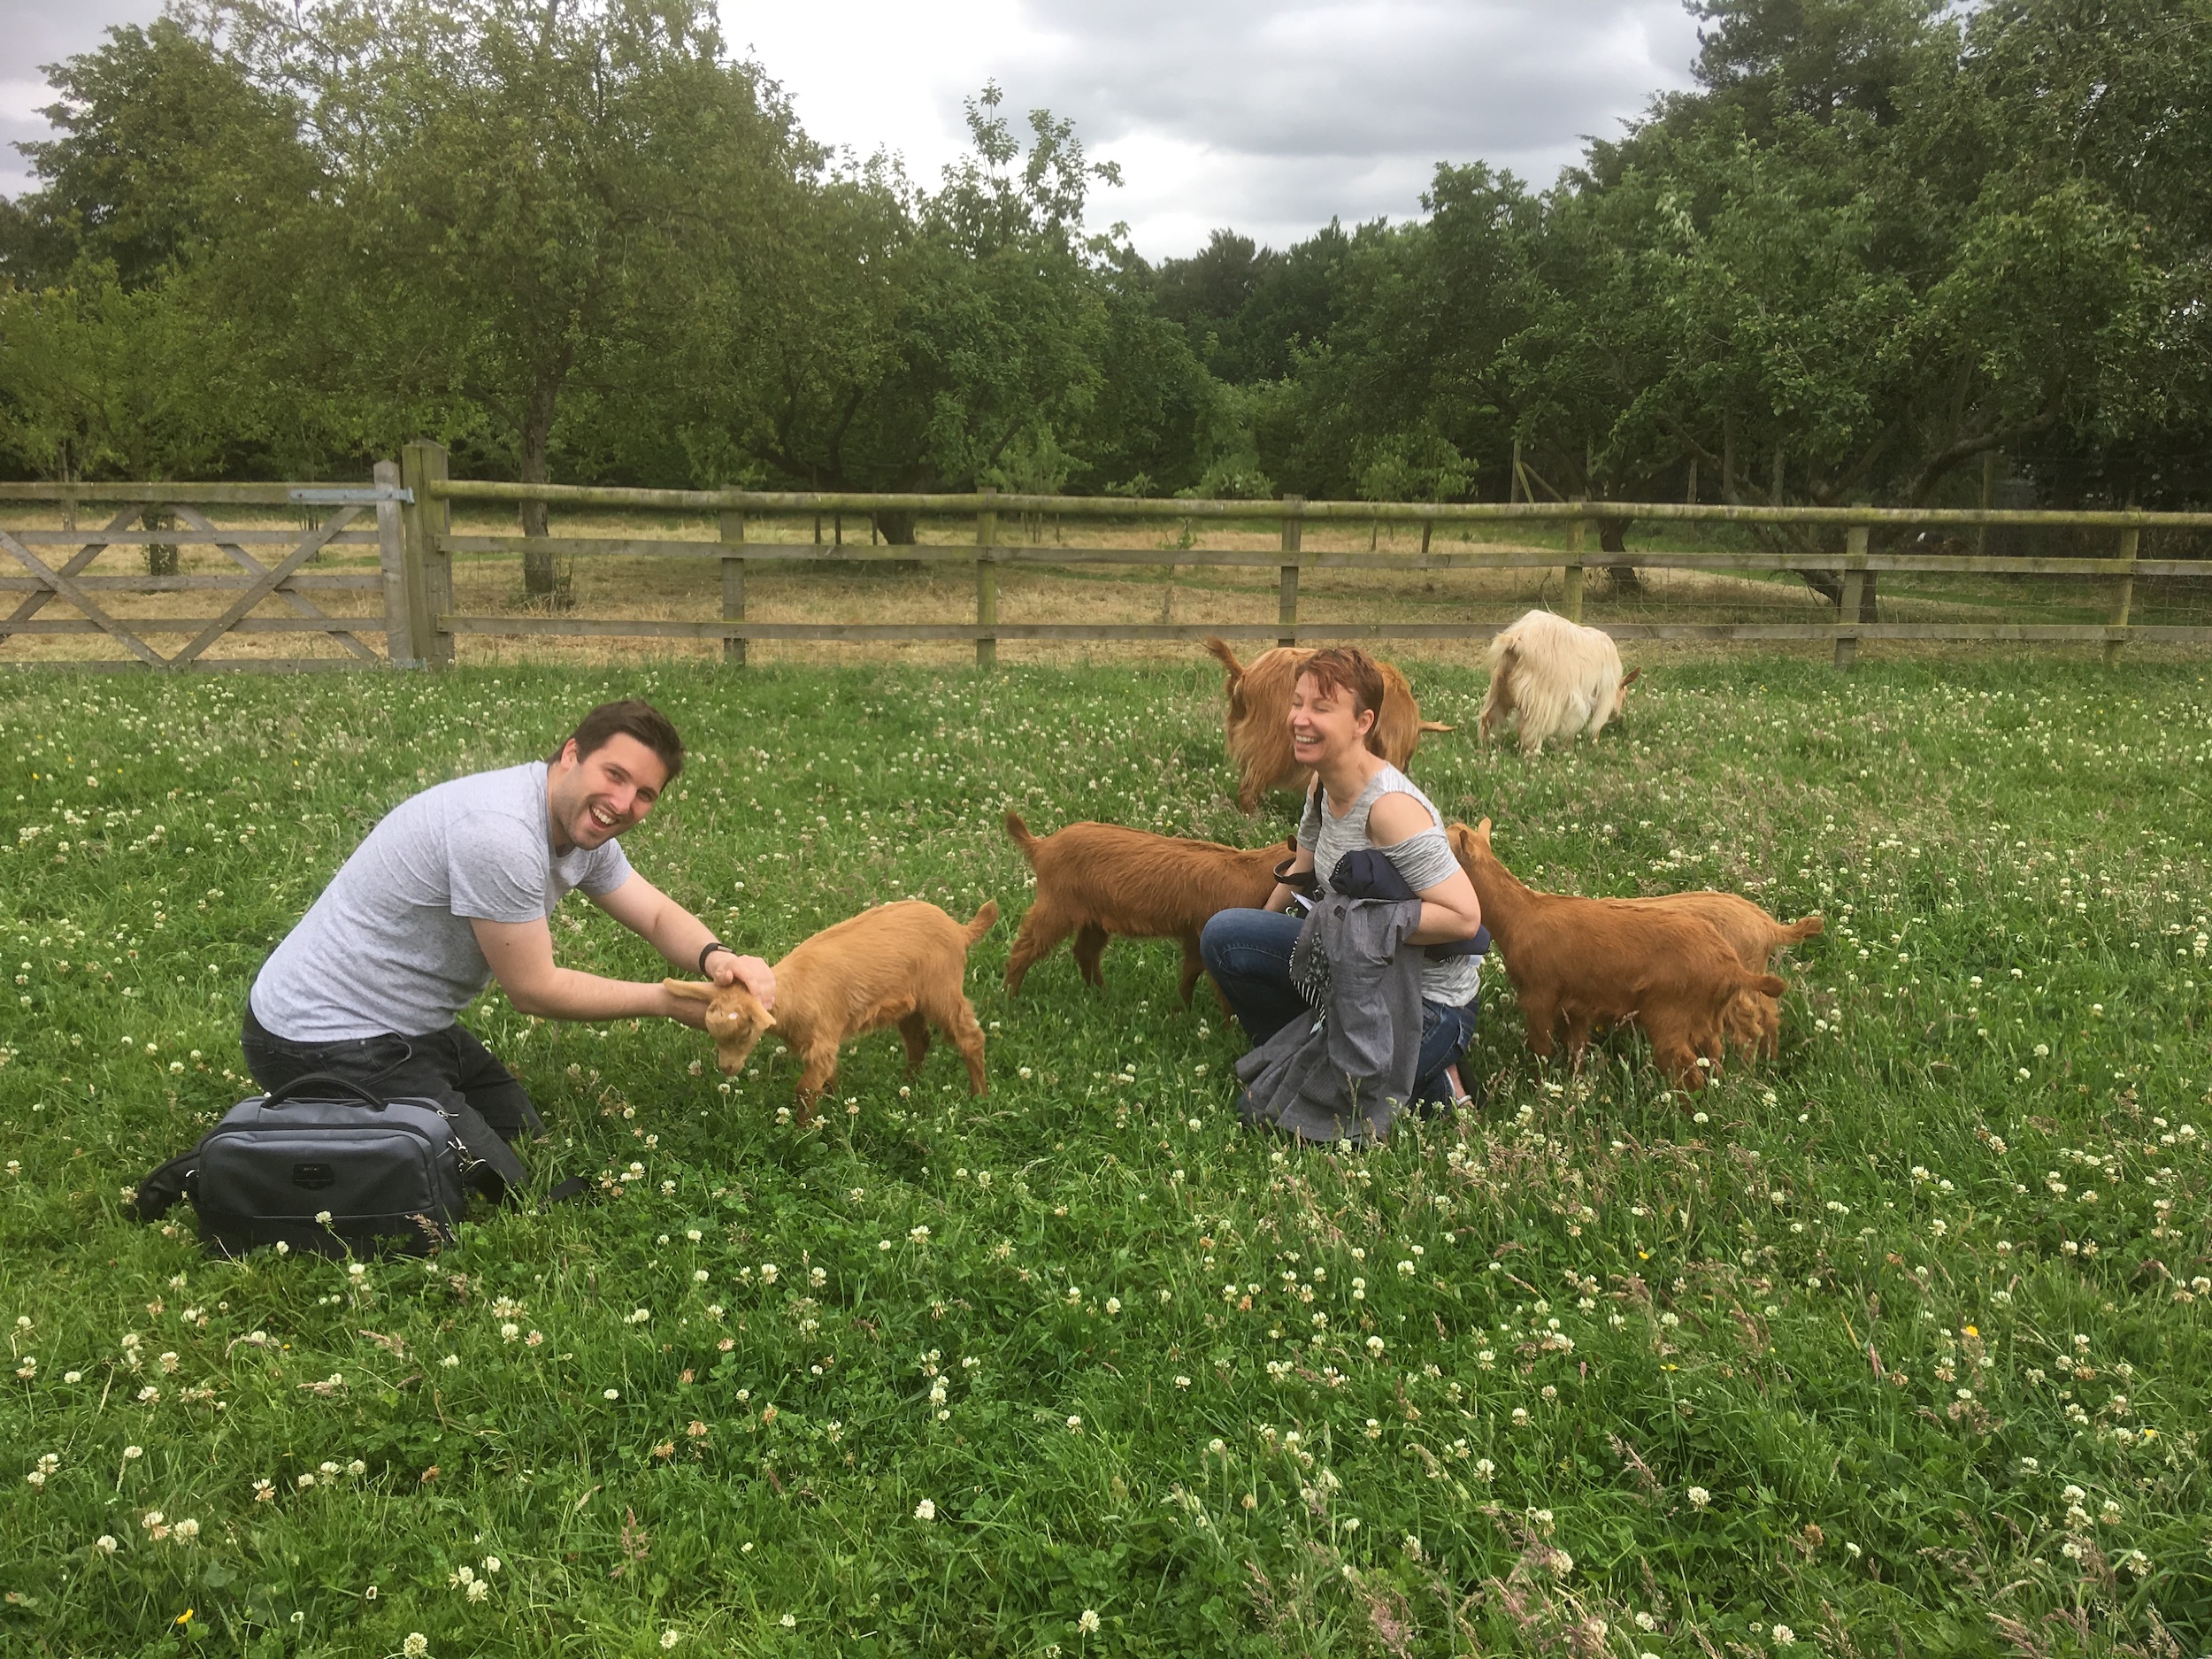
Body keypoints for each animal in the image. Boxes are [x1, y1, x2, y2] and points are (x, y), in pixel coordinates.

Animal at [665, 899, 996, 1122]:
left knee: (969, 1037)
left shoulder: (820, 1038)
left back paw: (979, 1097)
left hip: (942, 988)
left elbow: (805, 1089)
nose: (727, 1069)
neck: (792, 995)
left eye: (746, 1032)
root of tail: (959, 930)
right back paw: (908, 1084)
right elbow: (828, 1077)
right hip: (911, 1002)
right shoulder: (824, 1041)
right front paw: (837, 1104)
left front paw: (803, 1132)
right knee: (919, 1040)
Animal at [1004, 813, 1290, 1006]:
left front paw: (1181, 1011)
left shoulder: (1194, 936)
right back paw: (1010, 998)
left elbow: (1190, 972)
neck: (1253, 873)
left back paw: (1100, 995)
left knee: (1085, 951)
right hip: (1056, 907)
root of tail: (1041, 846)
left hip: (1094, 919)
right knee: (1024, 947)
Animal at [1447, 820, 1783, 1092]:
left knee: (1695, 1068)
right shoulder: (1576, 1004)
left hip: (1672, 1016)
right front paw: (1576, 1082)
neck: (1520, 915)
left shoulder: (1539, 994)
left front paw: (1538, 1086)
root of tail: (1732, 965)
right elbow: (1577, 1049)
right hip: (1706, 1018)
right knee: (1718, 1055)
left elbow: (1541, 1047)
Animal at [1477, 610, 1638, 754]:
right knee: (1529, 730)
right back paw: (1533, 755)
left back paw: (1484, 747)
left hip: (1501, 687)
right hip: (1541, 698)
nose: (1617, 718)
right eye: (1624, 696)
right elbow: (1593, 725)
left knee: (1488, 717)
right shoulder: (1600, 695)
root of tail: (1517, 641)